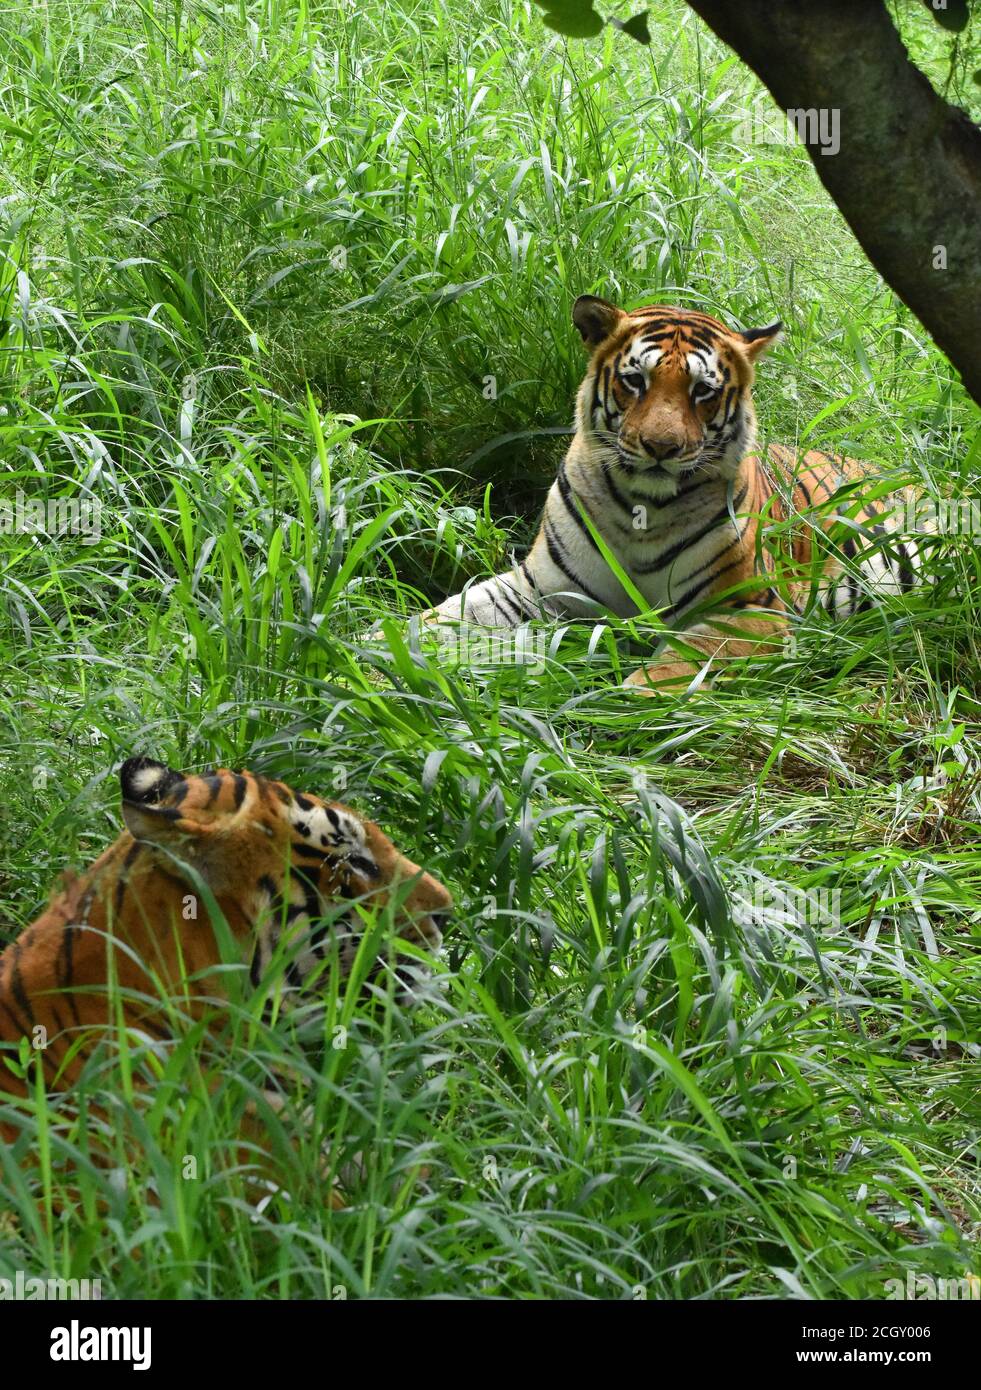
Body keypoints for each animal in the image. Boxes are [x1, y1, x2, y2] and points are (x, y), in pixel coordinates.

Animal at [427, 295, 925, 690]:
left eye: (702, 390)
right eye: (635, 381)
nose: (661, 447)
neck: (641, 511)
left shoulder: (752, 608)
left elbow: (682, 660)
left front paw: (624, 706)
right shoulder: (539, 588)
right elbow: (454, 613)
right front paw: (407, 656)